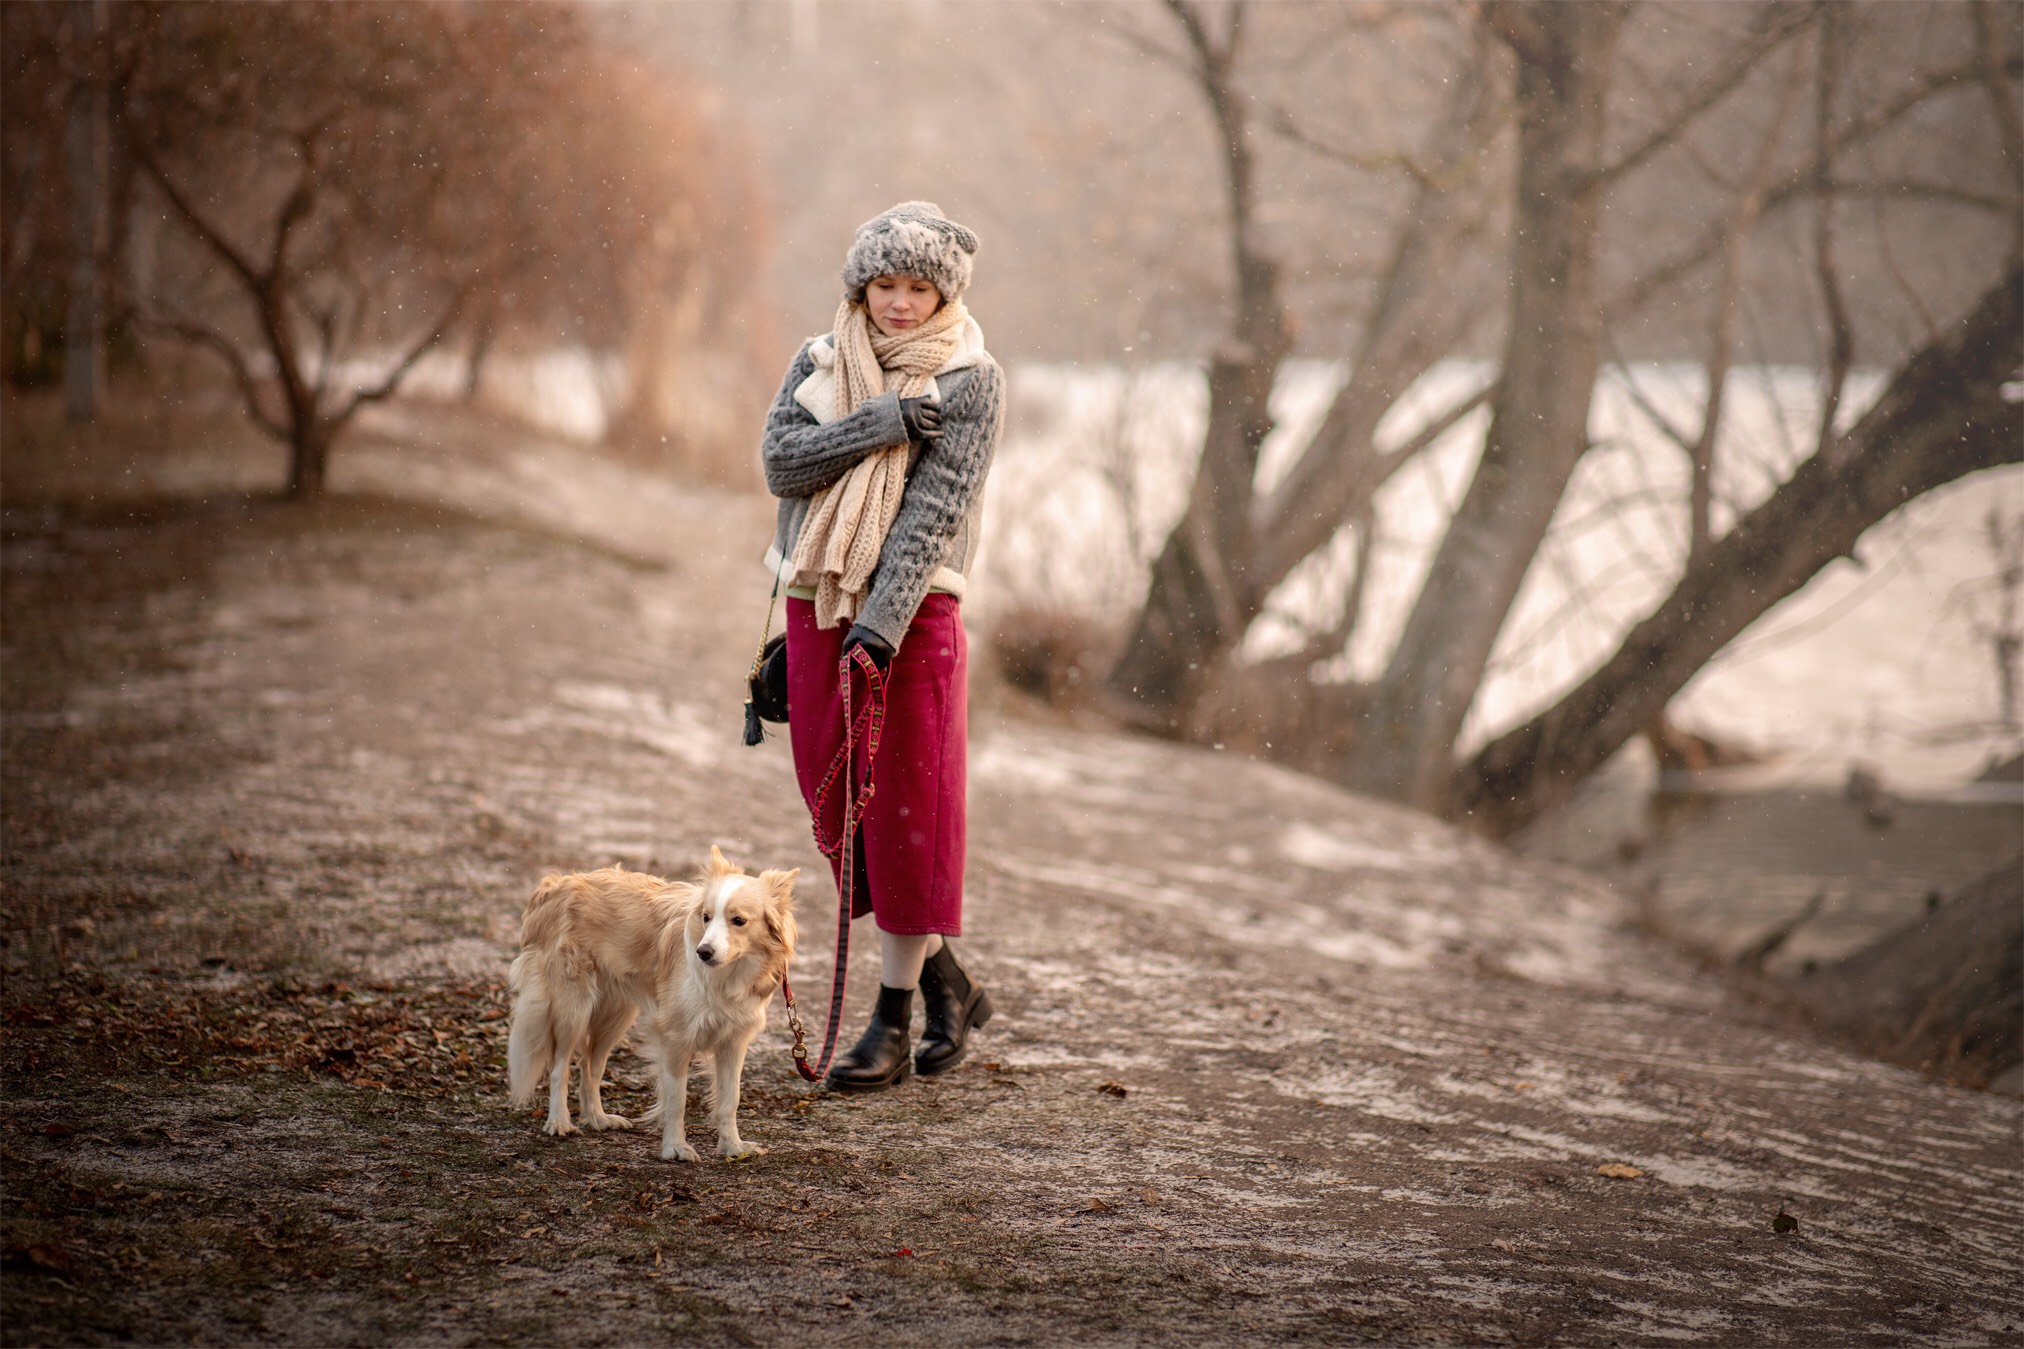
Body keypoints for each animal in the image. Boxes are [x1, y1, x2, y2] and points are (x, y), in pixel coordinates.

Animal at [501, 853, 793, 1164]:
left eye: (738, 921)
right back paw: (559, 1121)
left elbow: (730, 1099)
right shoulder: (675, 1038)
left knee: (591, 1065)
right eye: (706, 917)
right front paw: (675, 1148)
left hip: (615, 1016)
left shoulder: (733, 1042)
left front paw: (733, 1147)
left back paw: (597, 1118)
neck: (729, 974)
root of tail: (556, 884)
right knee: (560, 1065)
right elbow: (677, 1099)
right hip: (573, 1009)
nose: (703, 953)